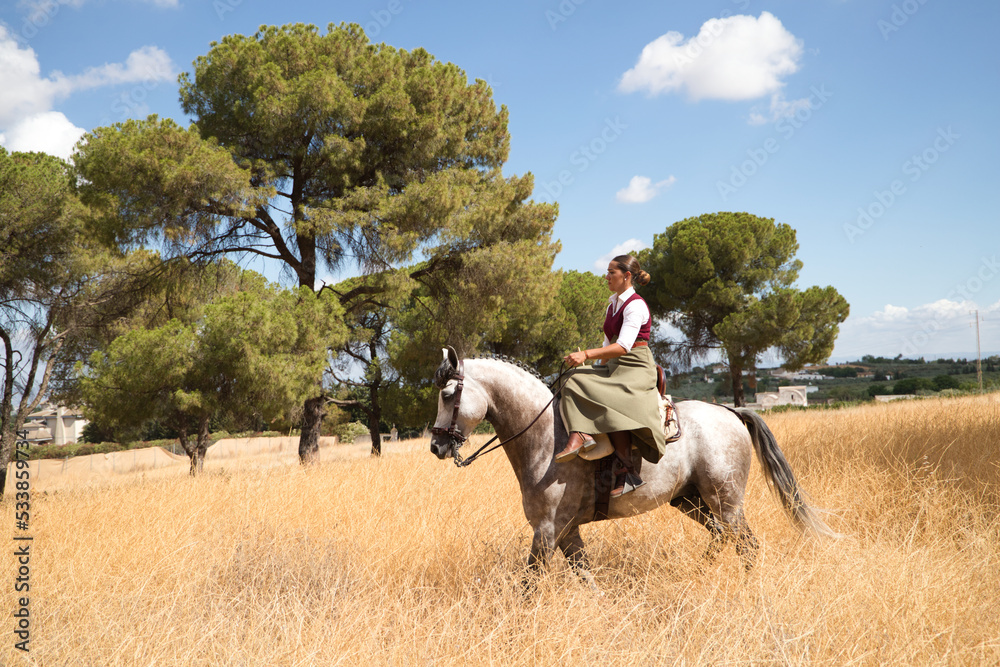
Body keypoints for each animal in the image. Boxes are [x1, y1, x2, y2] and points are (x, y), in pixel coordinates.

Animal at [429, 347, 837, 586]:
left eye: (448, 394)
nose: (436, 445)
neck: (546, 437)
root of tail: (730, 411)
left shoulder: (546, 531)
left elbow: (529, 583)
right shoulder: (568, 532)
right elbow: (586, 578)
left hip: (726, 501)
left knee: (746, 545)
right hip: (691, 501)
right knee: (721, 537)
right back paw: (696, 574)